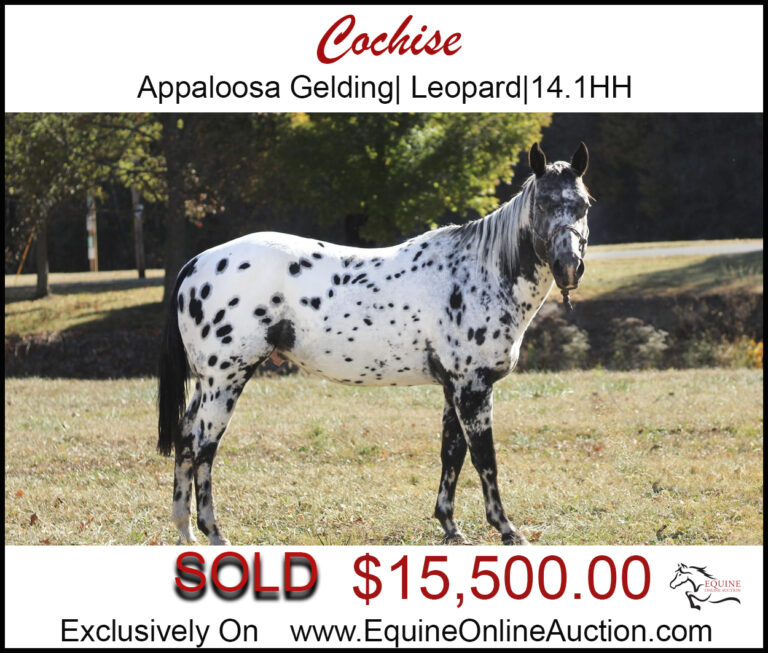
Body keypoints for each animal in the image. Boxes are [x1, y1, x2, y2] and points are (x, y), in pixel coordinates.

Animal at [157, 141, 591, 546]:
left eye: (584, 205)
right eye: (543, 203)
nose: (569, 268)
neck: (478, 274)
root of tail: (195, 265)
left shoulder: (454, 388)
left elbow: (452, 454)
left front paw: (450, 527)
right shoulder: (472, 387)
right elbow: (485, 459)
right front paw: (506, 529)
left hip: (206, 383)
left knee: (184, 438)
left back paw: (185, 530)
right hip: (225, 381)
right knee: (203, 446)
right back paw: (213, 531)